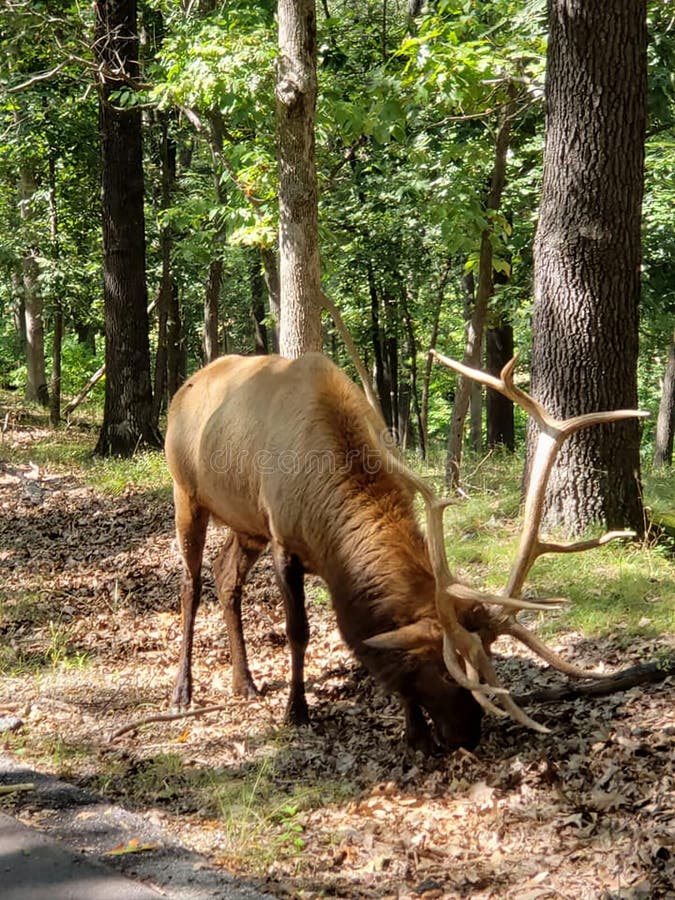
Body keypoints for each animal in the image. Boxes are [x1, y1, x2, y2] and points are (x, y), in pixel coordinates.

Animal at [165, 351, 646, 751]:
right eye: (446, 671)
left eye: (490, 661)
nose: (467, 737)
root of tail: (182, 388)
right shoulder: (283, 538)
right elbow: (297, 631)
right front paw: (296, 712)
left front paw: (414, 732)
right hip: (187, 493)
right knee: (191, 584)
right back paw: (183, 691)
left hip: (246, 524)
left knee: (224, 573)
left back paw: (244, 681)